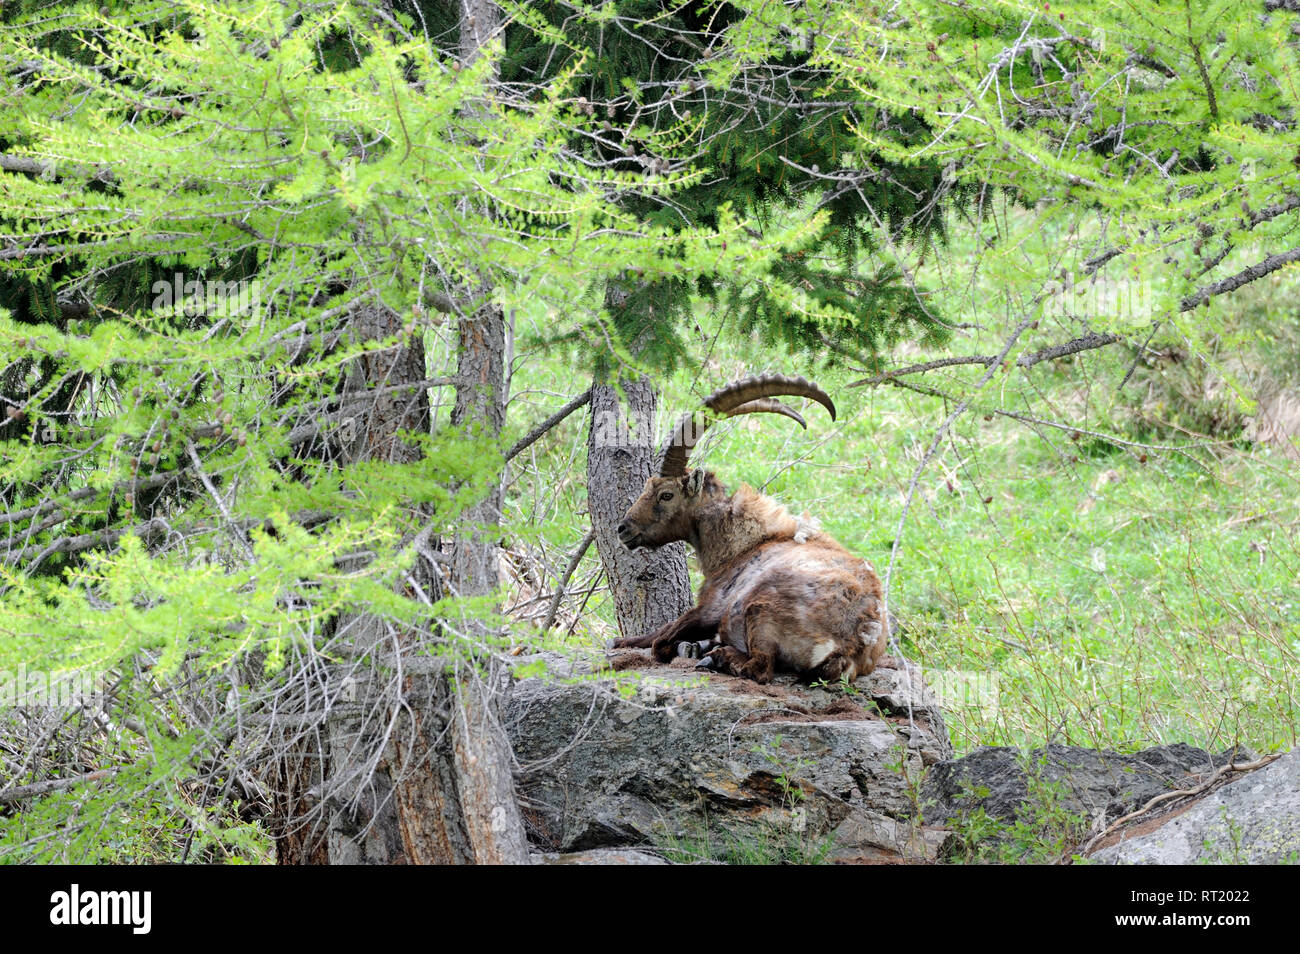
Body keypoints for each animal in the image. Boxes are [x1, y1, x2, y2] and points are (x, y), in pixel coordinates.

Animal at [611, 374, 887, 684]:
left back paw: (715, 657)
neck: (744, 543)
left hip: (758, 608)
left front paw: (626, 642)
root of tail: (853, 642)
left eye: (666, 494)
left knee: (760, 666)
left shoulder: (710, 608)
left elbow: (661, 638)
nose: (623, 529)